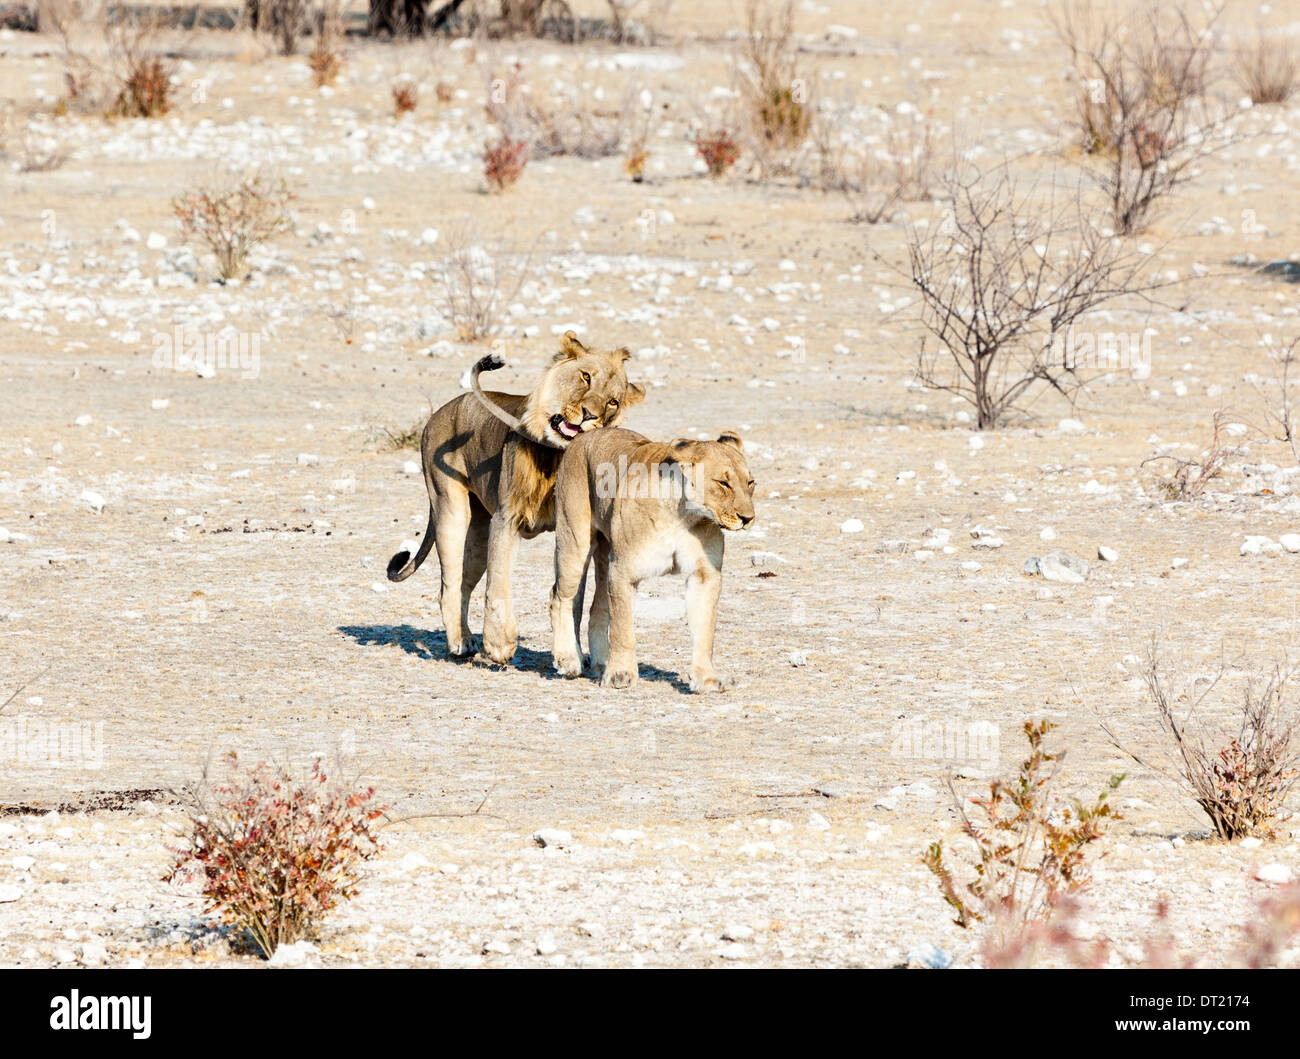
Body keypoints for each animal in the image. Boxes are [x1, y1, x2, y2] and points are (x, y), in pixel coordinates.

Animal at [386, 331, 645, 663]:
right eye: (586, 376)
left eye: (613, 401)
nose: (589, 414)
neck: (553, 455)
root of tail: (441, 411)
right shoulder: (506, 518)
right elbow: (498, 583)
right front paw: (499, 645)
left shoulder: (575, 529)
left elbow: (572, 597)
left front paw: (571, 654)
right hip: (451, 509)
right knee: (449, 585)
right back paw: (458, 643)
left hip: (479, 532)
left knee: (465, 584)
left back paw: (468, 638)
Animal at [548, 427, 756, 692]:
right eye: (723, 483)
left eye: (750, 483)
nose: (748, 518)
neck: (683, 514)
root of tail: (585, 436)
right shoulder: (623, 570)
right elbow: (623, 628)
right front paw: (620, 674)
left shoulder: (704, 575)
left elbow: (705, 629)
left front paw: (706, 678)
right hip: (575, 544)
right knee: (559, 597)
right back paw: (568, 660)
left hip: (606, 558)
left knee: (597, 608)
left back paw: (600, 664)